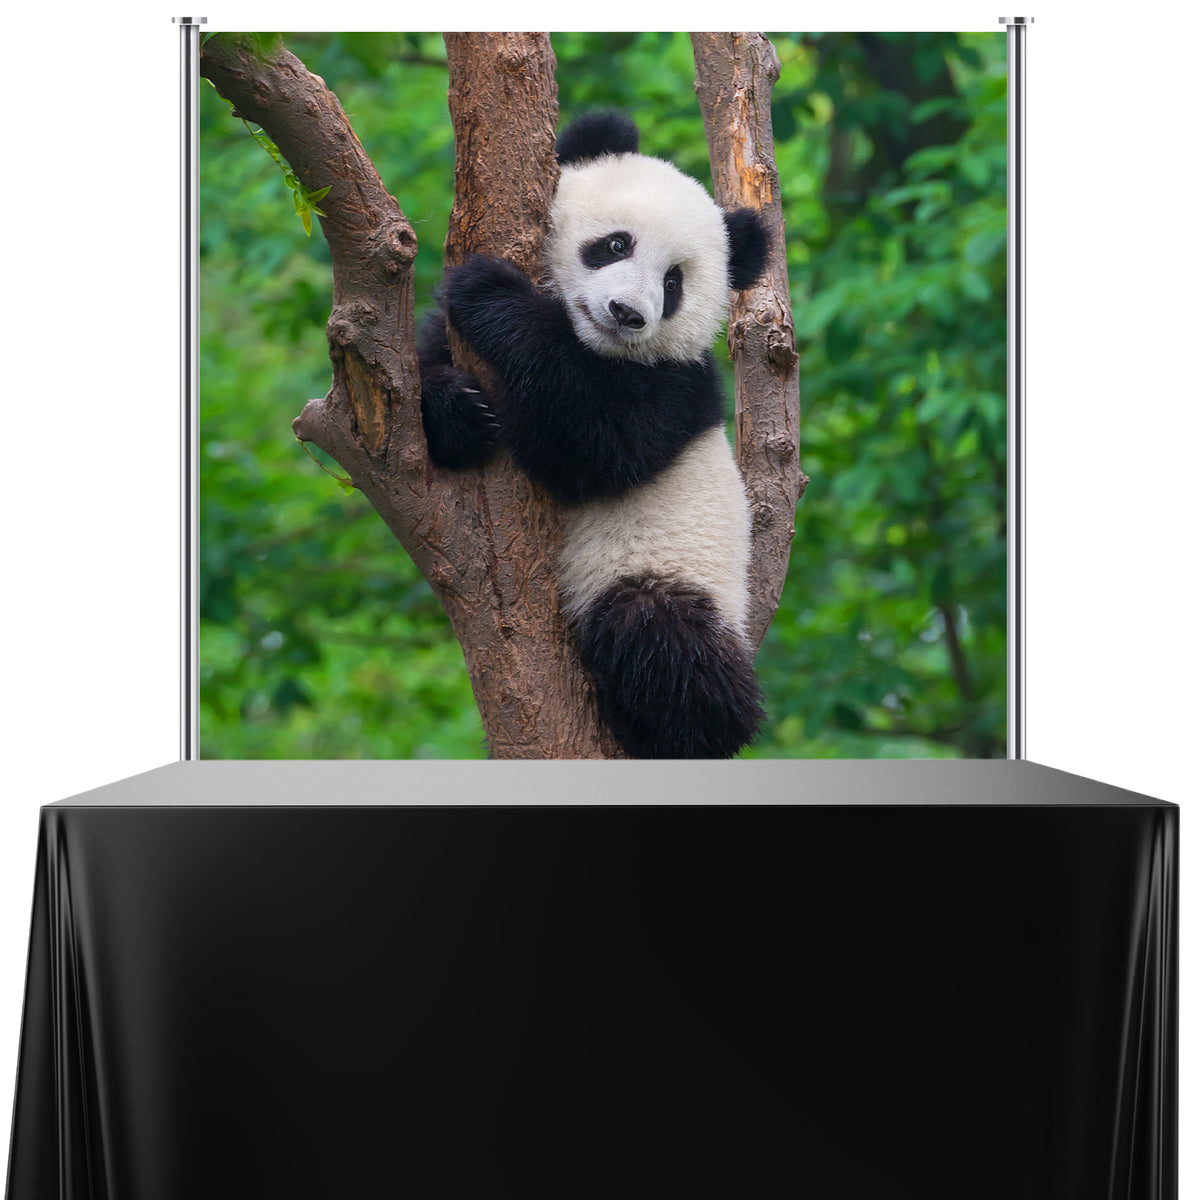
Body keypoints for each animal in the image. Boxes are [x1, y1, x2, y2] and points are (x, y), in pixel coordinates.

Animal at [418, 111, 772, 759]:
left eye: (673, 283)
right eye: (615, 245)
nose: (627, 314)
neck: (596, 346)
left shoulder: (676, 389)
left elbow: (592, 443)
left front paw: (490, 292)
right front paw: (459, 413)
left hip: (670, 572)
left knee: (664, 642)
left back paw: (664, 726)